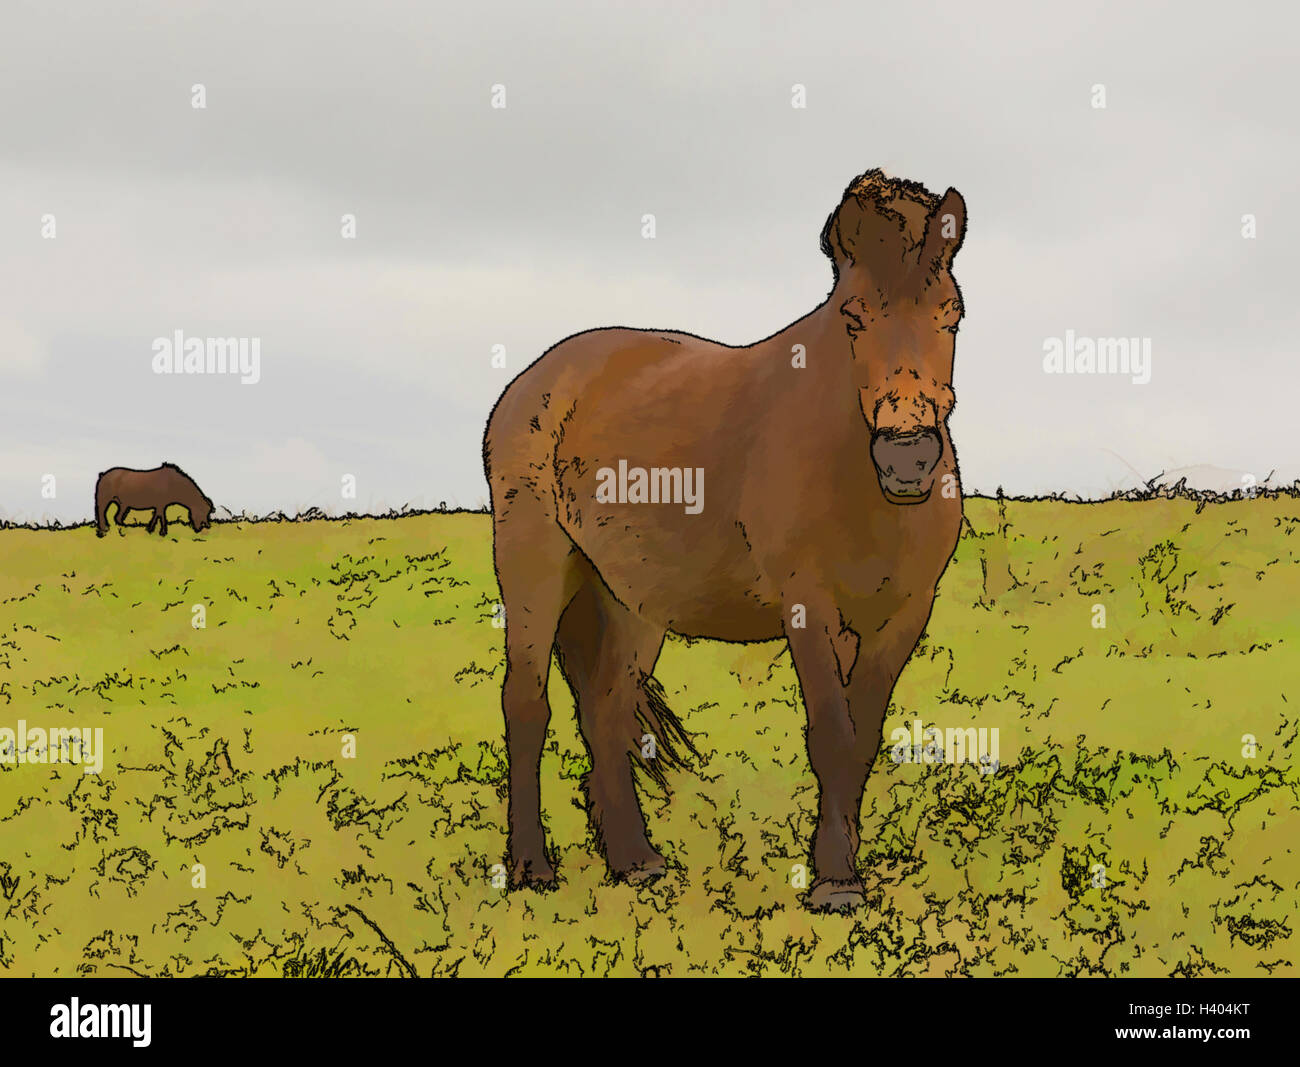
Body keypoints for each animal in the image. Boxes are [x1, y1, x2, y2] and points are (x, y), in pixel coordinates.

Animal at [483, 168, 968, 911]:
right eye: (853, 318)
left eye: (952, 315)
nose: (907, 457)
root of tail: (537, 379)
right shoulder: (809, 609)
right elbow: (832, 733)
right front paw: (833, 883)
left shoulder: (904, 614)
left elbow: (861, 738)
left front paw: (847, 865)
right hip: (533, 568)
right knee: (527, 706)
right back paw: (533, 867)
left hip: (629, 599)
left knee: (605, 707)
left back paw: (636, 860)